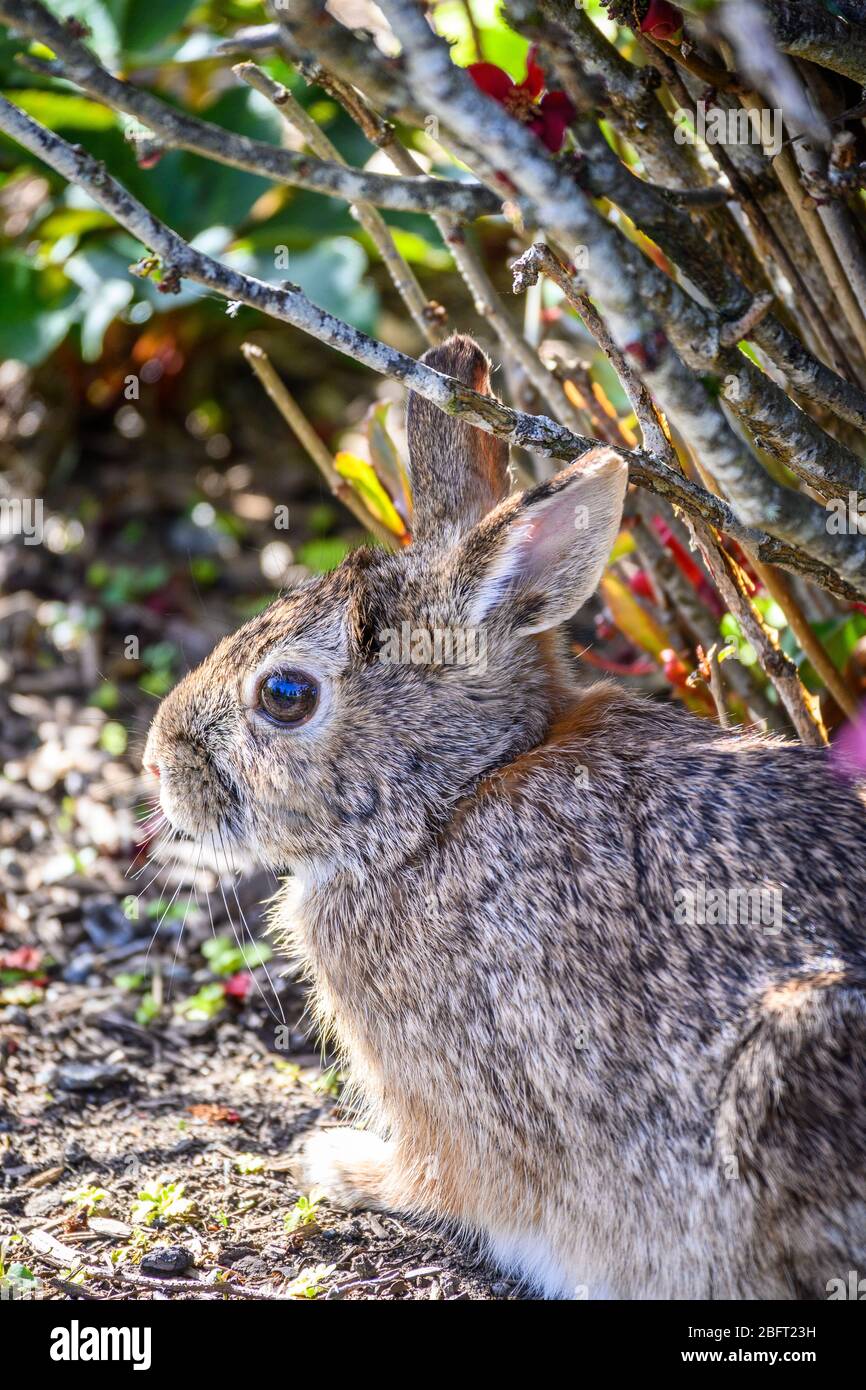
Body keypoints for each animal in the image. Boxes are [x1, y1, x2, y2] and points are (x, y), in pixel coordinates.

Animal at [144, 335, 866, 1300]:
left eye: (286, 695)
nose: (157, 766)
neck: (453, 796)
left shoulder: (445, 1104)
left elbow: (430, 1176)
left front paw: (337, 1163)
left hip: (782, 1066)